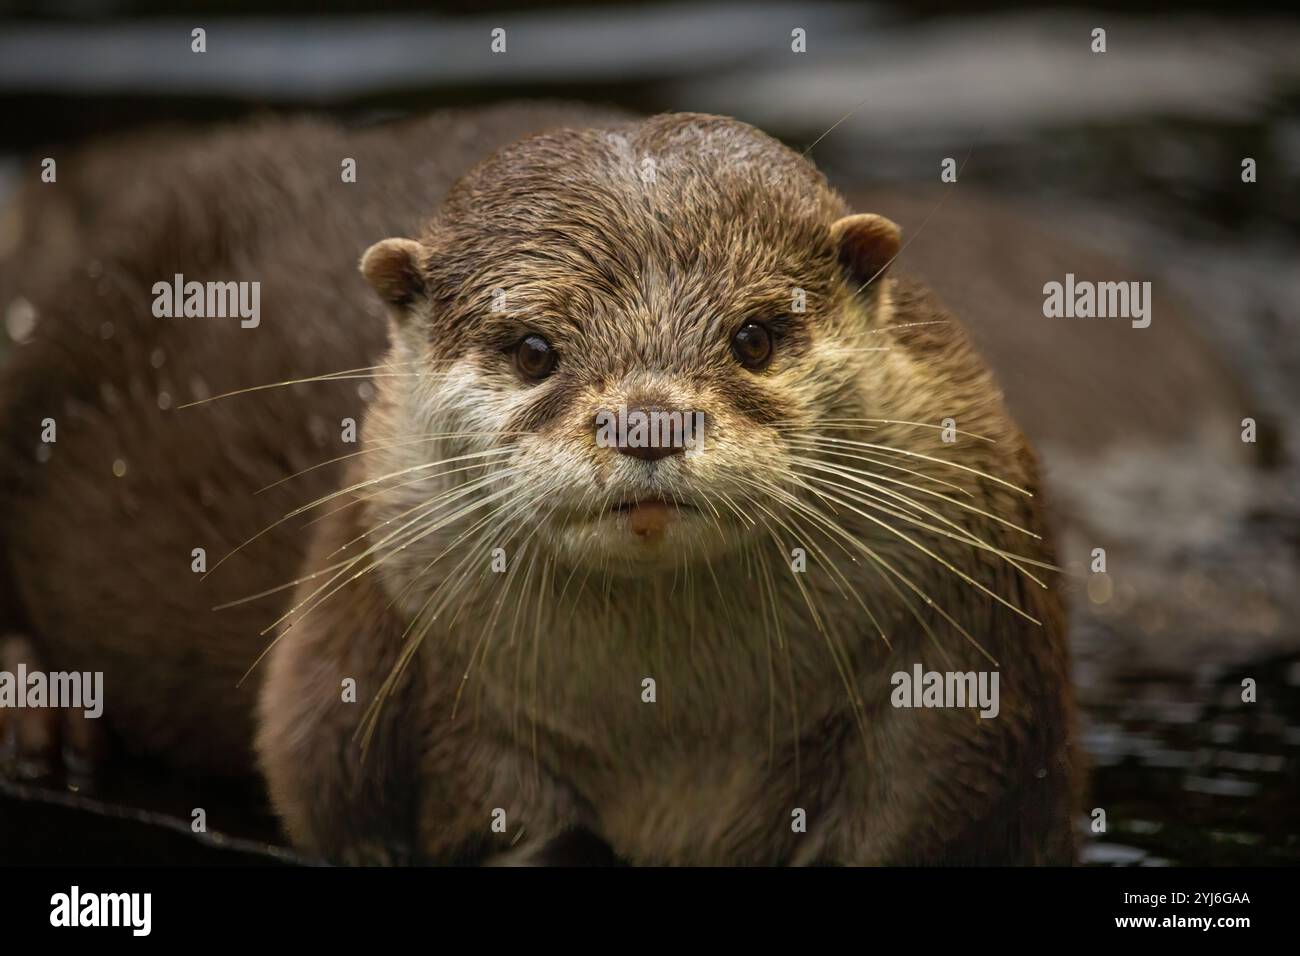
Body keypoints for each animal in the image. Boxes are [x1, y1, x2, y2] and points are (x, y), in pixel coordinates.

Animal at [0, 103, 1077, 864]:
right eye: (532, 348)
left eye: (755, 336)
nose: (649, 420)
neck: (676, 734)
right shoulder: (380, 663)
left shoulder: (963, 665)